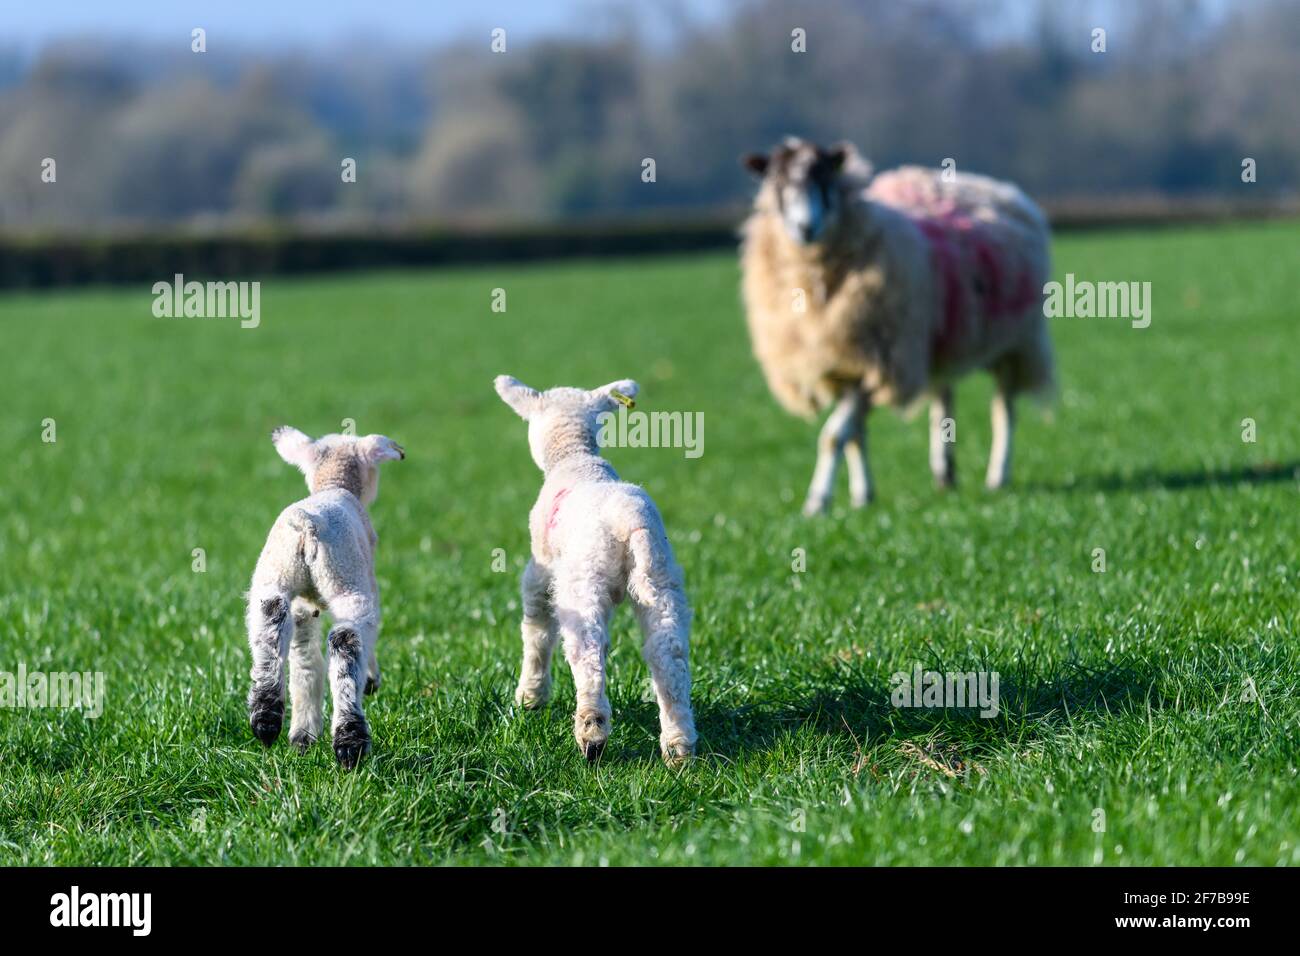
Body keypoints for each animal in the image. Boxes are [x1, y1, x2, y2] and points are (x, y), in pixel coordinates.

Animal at [245, 426, 405, 768]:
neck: (334, 482)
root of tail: (308, 524)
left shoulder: (304, 606)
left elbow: (305, 660)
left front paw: (303, 735)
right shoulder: (368, 578)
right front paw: (371, 680)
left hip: (273, 577)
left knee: (272, 627)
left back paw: (267, 719)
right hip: (348, 584)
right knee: (346, 641)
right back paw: (350, 742)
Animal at [494, 375, 697, 765]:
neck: (575, 457)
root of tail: (628, 518)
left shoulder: (540, 570)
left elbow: (537, 629)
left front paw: (530, 696)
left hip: (581, 582)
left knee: (587, 652)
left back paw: (592, 734)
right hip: (662, 577)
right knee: (668, 654)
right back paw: (679, 746)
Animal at [739, 137, 1055, 515]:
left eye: (826, 179)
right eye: (777, 182)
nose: (805, 228)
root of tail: (995, 186)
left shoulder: (879, 359)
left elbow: (833, 436)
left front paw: (817, 502)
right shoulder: (844, 361)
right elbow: (854, 436)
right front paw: (862, 495)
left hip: (1016, 341)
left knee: (1004, 410)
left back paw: (997, 476)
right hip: (940, 335)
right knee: (944, 399)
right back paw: (944, 473)